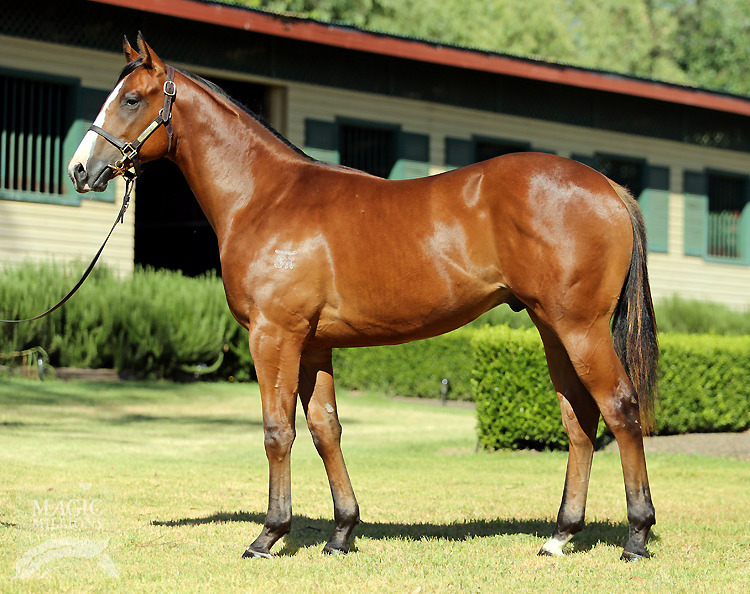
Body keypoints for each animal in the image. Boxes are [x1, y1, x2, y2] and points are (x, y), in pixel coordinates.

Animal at [68, 35, 658, 561]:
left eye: (131, 99)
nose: (79, 169)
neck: (266, 197)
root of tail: (609, 187)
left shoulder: (273, 337)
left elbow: (277, 431)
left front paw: (268, 535)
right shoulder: (311, 345)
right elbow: (325, 429)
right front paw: (341, 533)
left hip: (580, 327)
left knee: (620, 408)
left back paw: (635, 536)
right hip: (551, 327)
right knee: (579, 419)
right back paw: (560, 536)